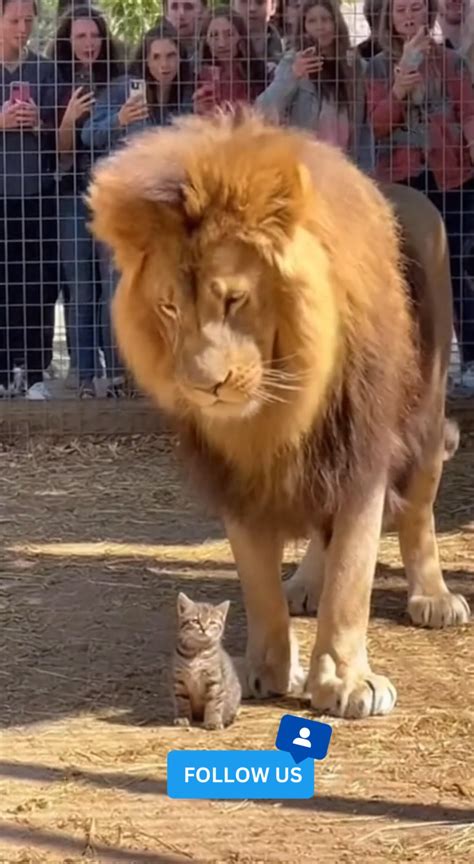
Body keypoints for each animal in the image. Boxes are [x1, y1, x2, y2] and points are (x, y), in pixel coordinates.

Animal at [87, 109, 470, 719]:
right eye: (168, 307)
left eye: (233, 299)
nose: (206, 386)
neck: (279, 407)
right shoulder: (237, 477)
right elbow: (257, 582)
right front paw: (263, 668)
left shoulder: (361, 449)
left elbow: (353, 574)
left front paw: (345, 681)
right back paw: (306, 585)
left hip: (427, 415)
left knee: (417, 513)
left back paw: (432, 596)